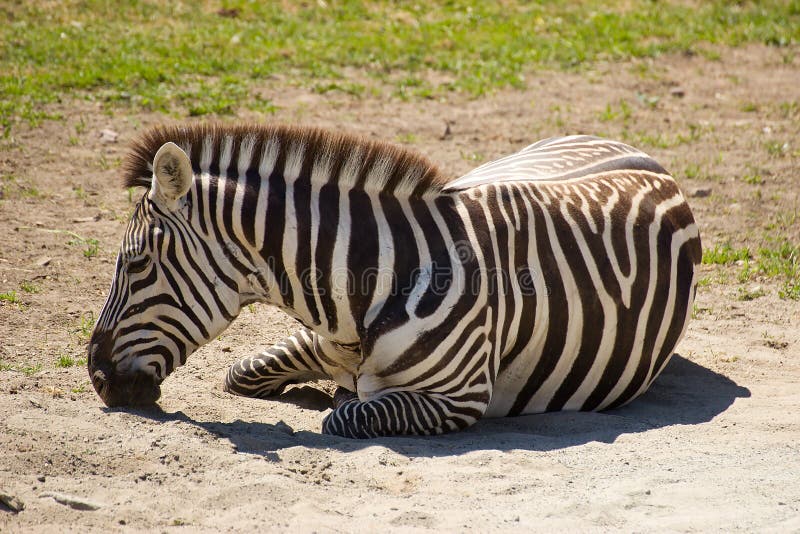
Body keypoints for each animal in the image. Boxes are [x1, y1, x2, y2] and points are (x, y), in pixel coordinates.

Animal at [87, 123, 701, 438]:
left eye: (137, 264)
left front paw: (327, 398)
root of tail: (639, 153)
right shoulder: (316, 339)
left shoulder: (457, 398)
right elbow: (241, 371)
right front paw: (309, 387)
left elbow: (345, 415)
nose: (96, 378)